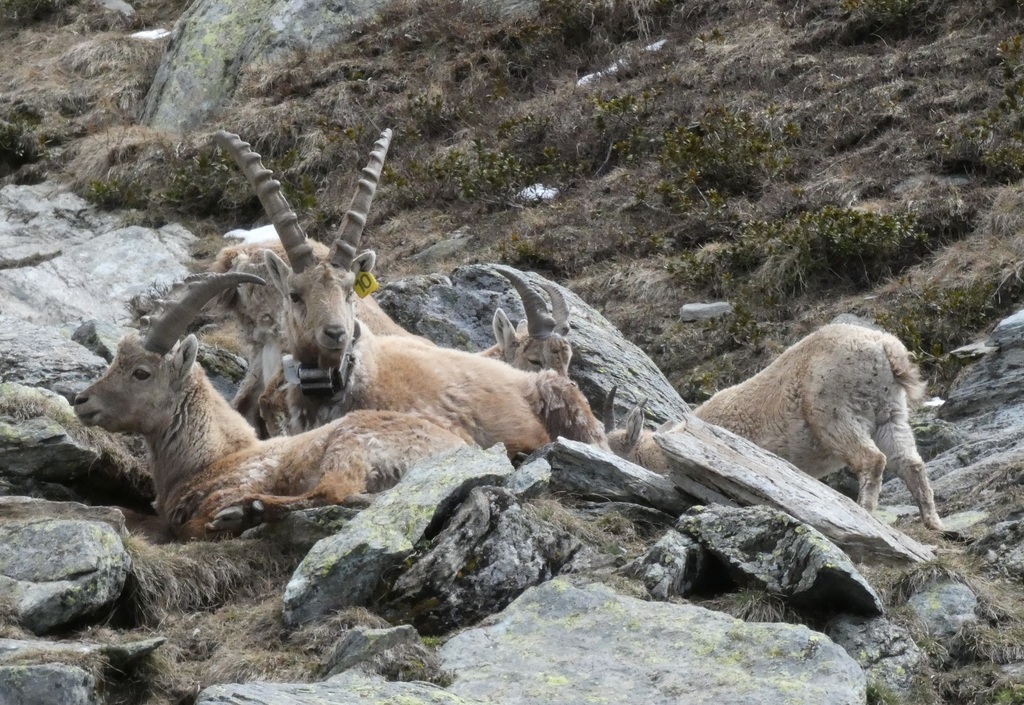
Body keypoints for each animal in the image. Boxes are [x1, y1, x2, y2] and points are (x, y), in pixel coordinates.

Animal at [73, 272, 466, 540]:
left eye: (142, 373)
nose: (81, 401)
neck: (211, 456)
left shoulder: (238, 483)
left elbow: (187, 527)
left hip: (351, 445)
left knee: (334, 492)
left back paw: (249, 512)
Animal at [604, 325, 943, 530]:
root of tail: (886, 348)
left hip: (834, 412)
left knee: (871, 460)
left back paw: (865, 514)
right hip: (890, 414)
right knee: (911, 464)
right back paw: (934, 524)